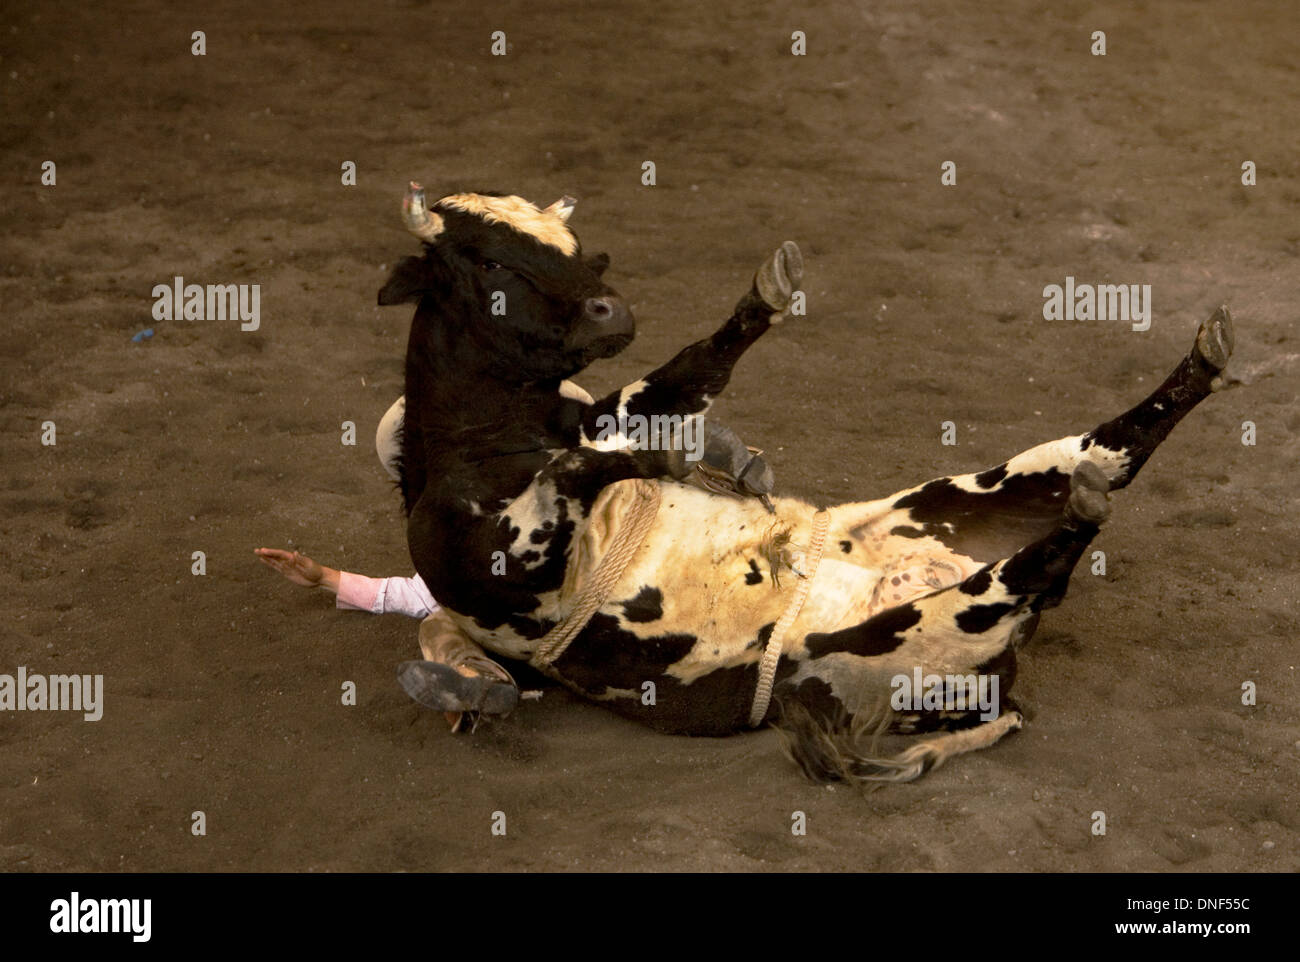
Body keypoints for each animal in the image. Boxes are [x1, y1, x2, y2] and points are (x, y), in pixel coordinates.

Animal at [376, 181, 1235, 783]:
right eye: (491, 261)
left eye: (581, 248)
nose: (610, 310)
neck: (491, 440)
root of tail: (1006, 681)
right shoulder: (506, 560)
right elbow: (581, 468)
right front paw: (667, 457)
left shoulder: (615, 408)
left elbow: (682, 377)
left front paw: (762, 301)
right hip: (921, 628)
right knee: (1042, 563)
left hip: (974, 495)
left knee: (1111, 451)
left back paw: (1202, 365)